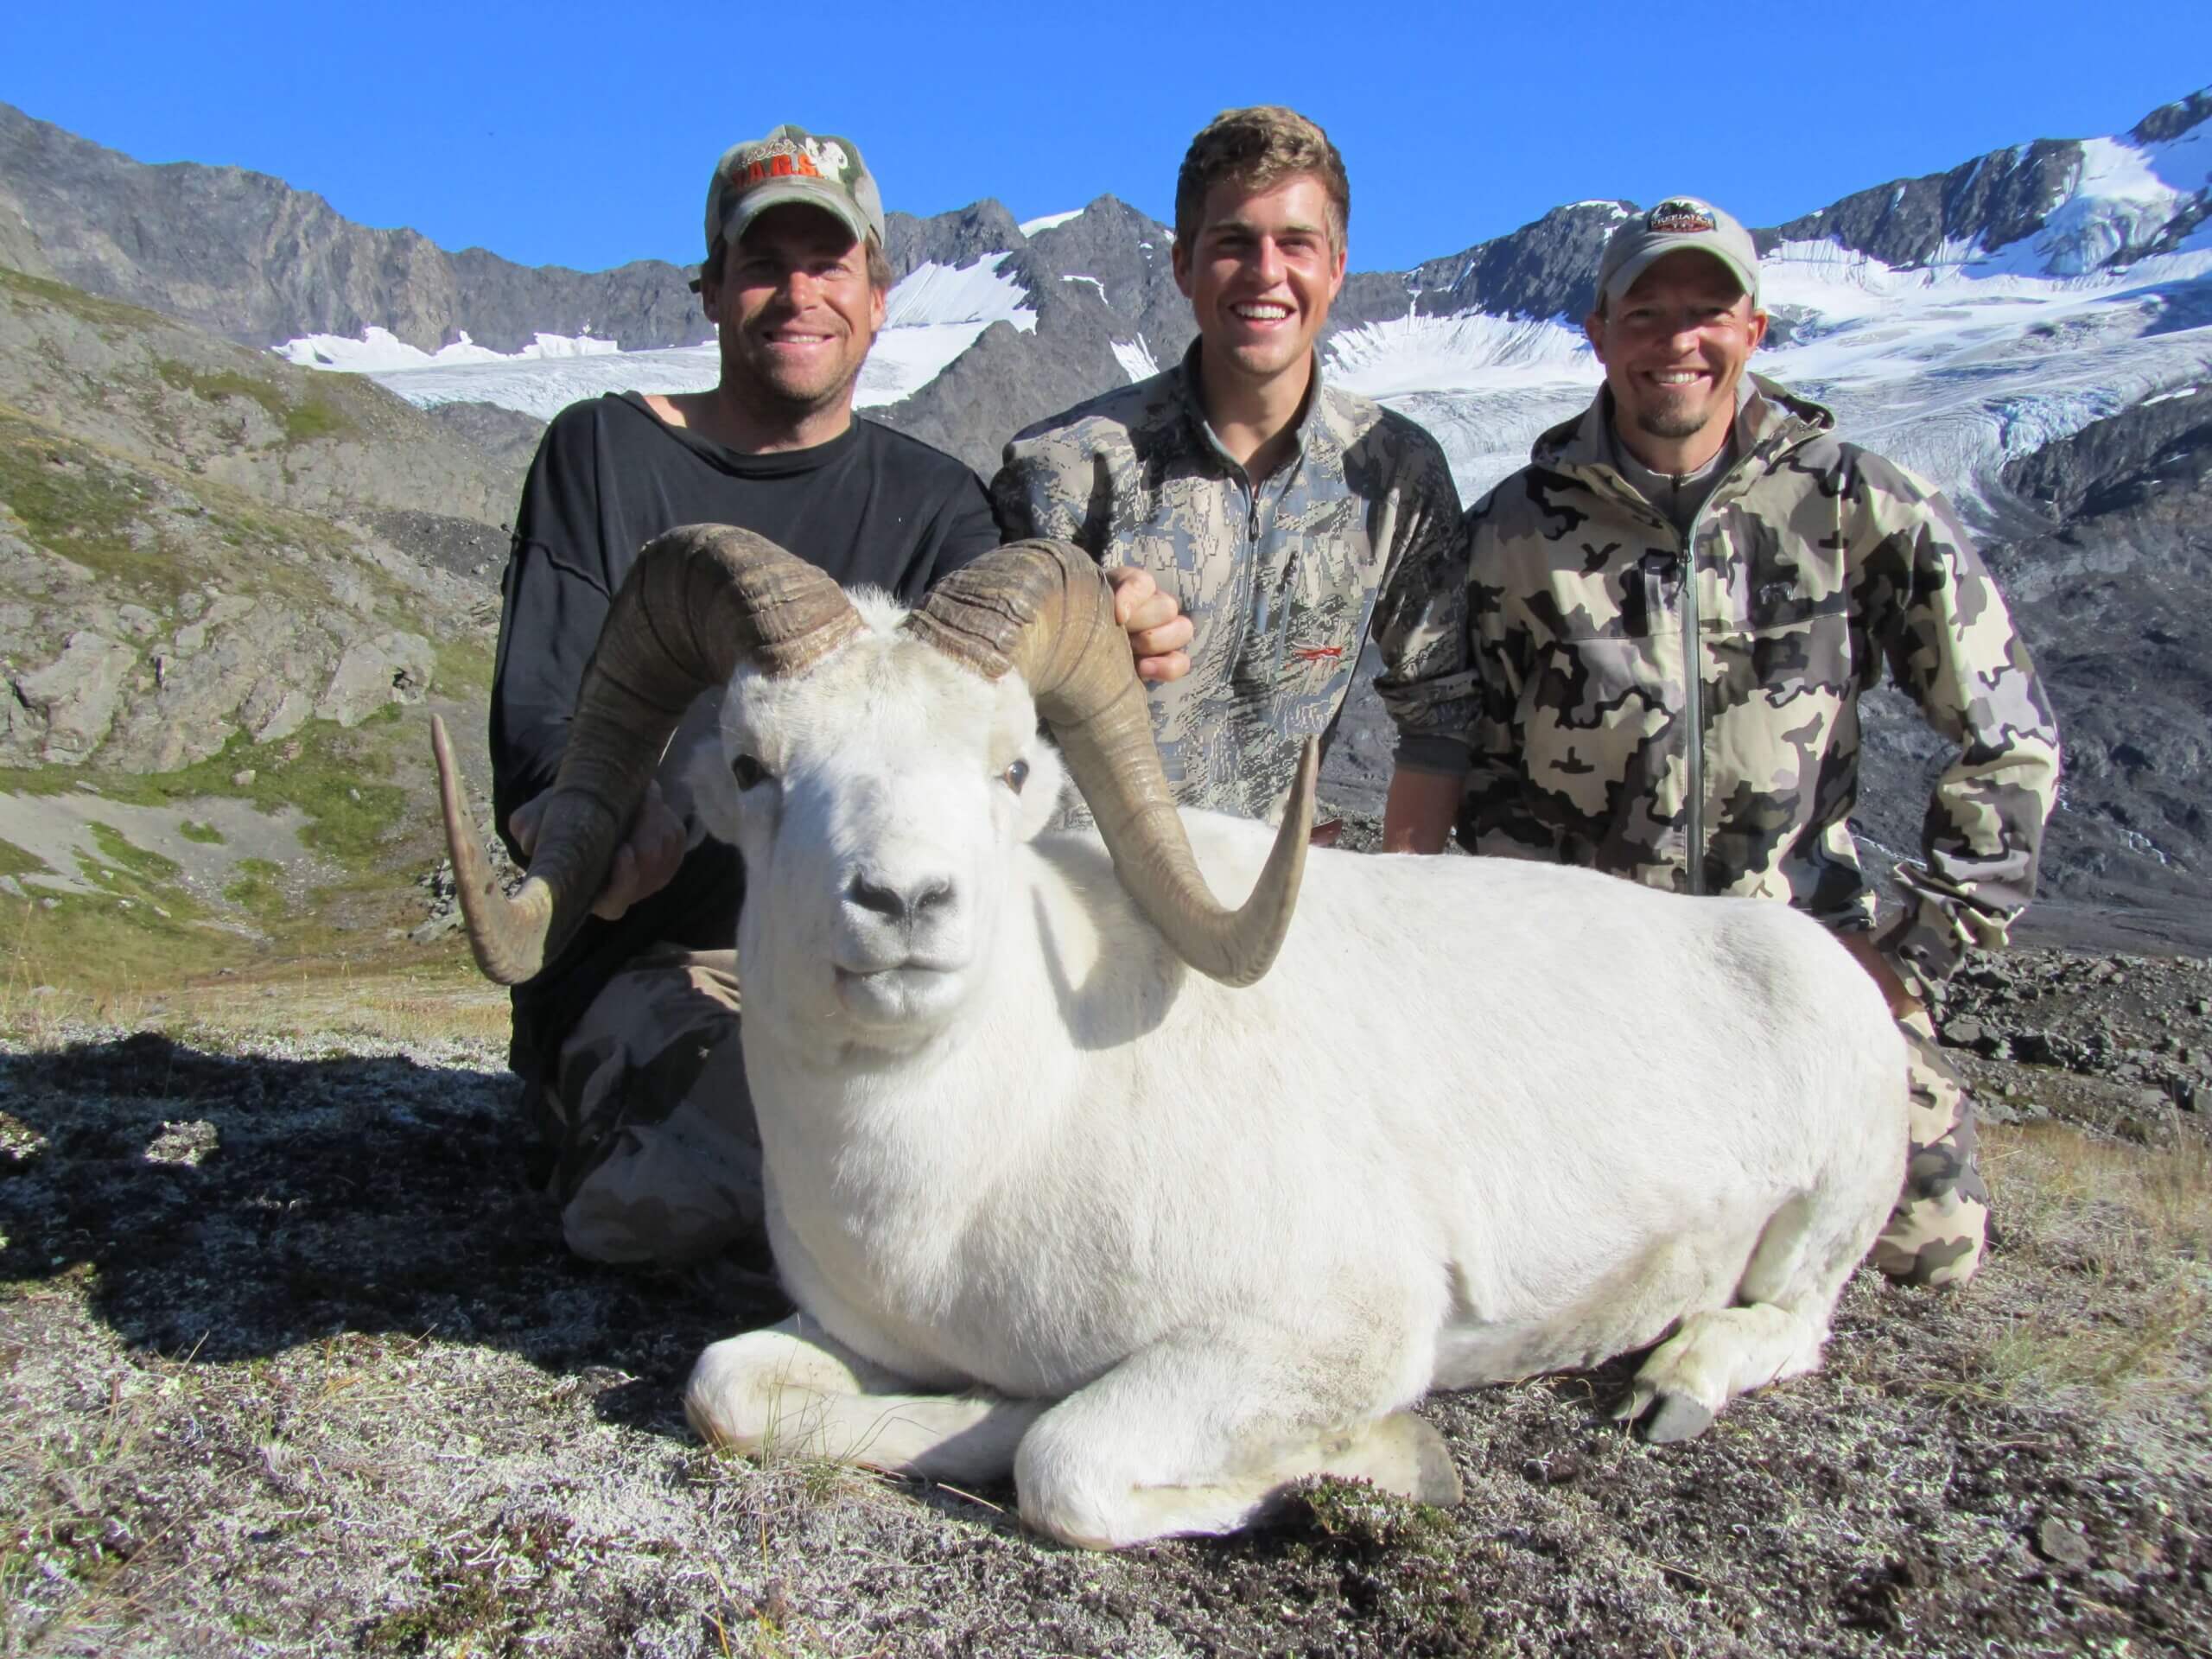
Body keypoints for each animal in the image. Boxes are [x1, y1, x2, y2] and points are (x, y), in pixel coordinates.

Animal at [434, 526, 1908, 1550]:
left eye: (1011, 768)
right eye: (753, 769)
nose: (904, 903)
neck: (968, 1179)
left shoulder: (1323, 1335)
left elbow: (1067, 1464)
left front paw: (1368, 1468)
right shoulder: (833, 1344)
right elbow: (727, 1390)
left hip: (1829, 1216)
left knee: (1793, 1321)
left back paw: (1679, 1382)